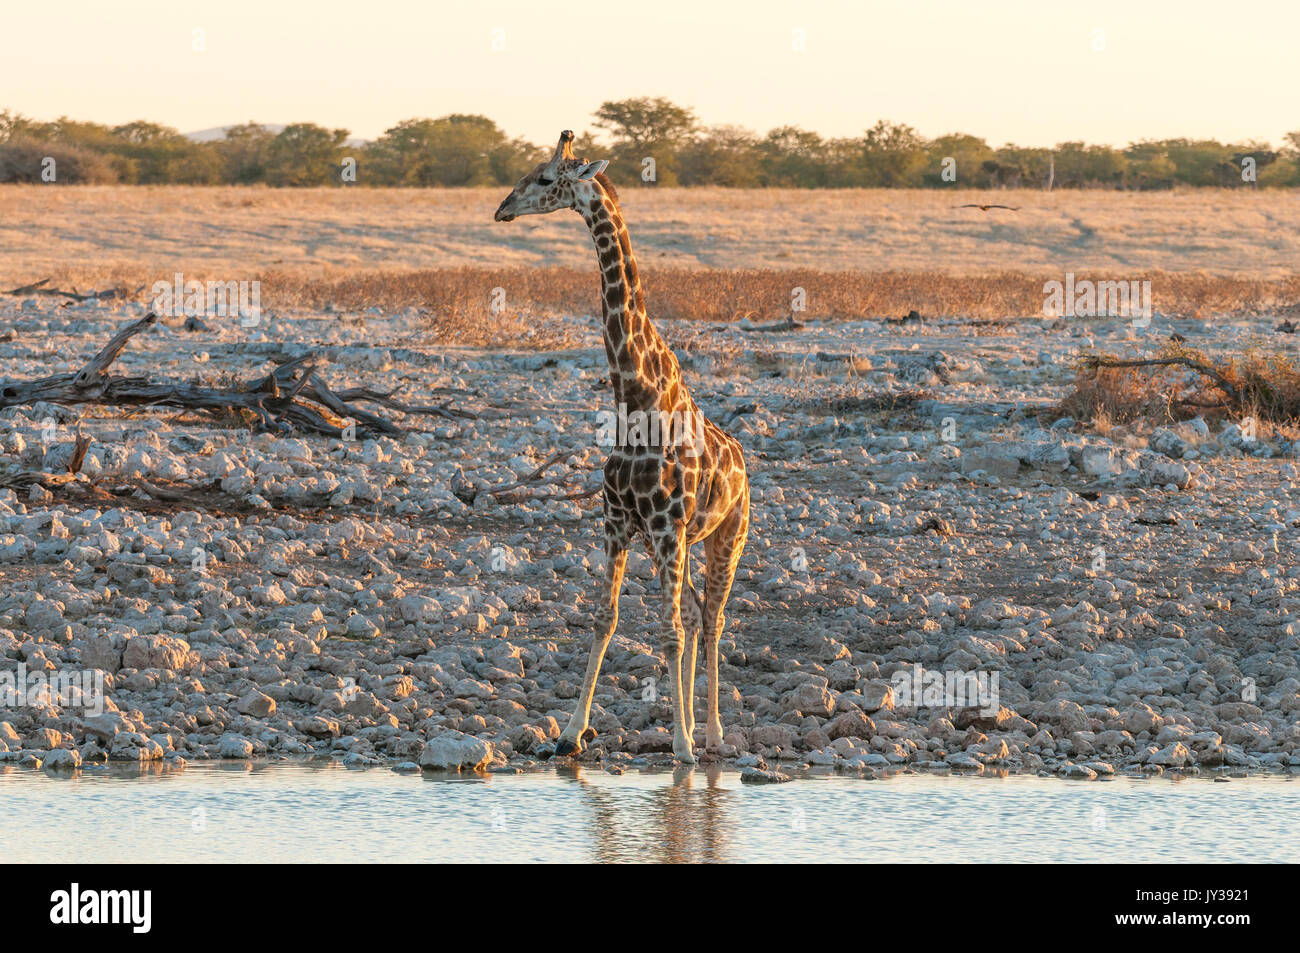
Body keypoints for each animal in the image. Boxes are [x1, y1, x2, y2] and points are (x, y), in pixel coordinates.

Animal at [494, 130, 750, 764]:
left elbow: (669, 632)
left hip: (725, 537)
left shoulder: (663, 527)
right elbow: (603, 619)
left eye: (544, 177)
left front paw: (681, 747)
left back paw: (711, 734)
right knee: (695, 613)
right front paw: (569, 732)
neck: (635, 395)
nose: (501, 208)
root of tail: (745, 464)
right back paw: (697, 726)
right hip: (676, 545)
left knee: (711, 619)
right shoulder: (617, 523)